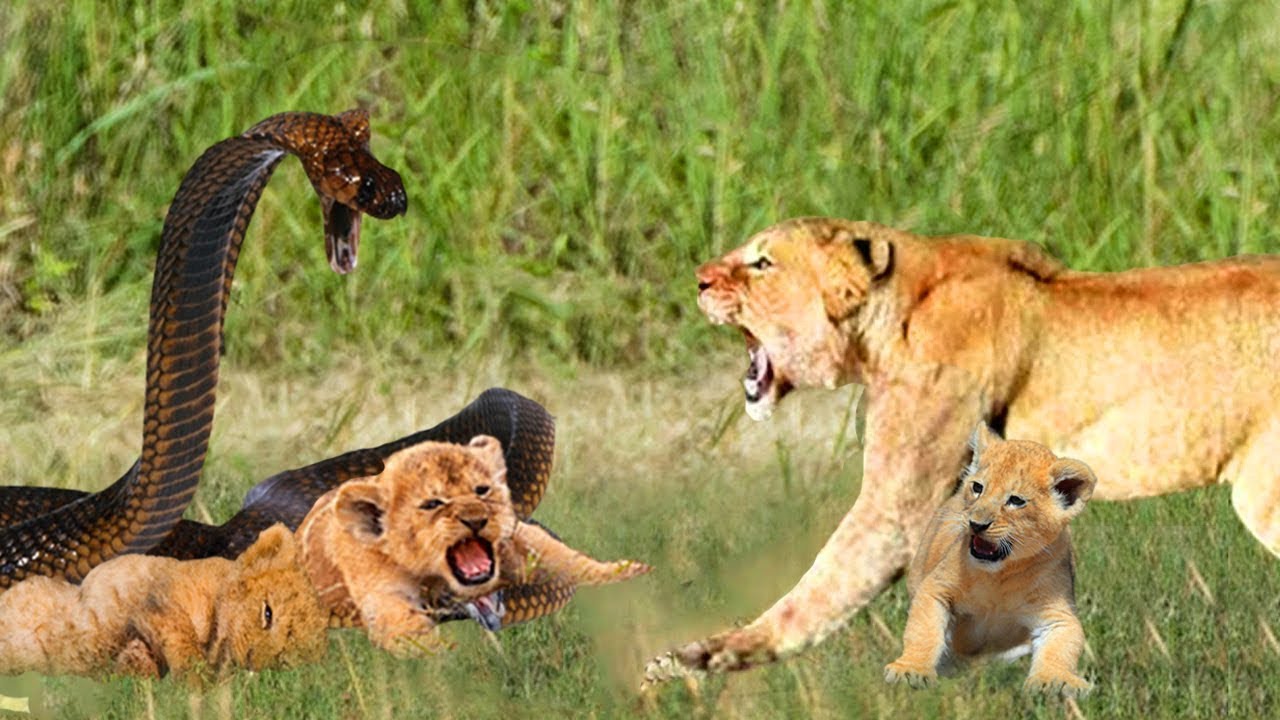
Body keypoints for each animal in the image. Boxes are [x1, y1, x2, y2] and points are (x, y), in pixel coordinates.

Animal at [0, 524, 328, 679]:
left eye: (285, 657)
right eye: (267, 614)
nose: (252, 663)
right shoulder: (154, 597)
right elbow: (180, 638)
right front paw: (195, 685)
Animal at [297, 435, 652, 655]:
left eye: (481, 490)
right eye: (432, 504)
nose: (475, 518)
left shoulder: (520, 541)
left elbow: (567, 558)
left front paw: (629, 573)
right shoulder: (382, 594)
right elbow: (403, 627)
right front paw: (446, 654)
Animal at [883, 425, 1095, 696]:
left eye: (1015, 501)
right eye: (977, 488)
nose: (976, 524)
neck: (999, 577)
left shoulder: (1058, 613)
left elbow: (1064, 645)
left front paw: (1054, 681)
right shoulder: (937, 588)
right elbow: (924, 631)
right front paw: (911, 671)